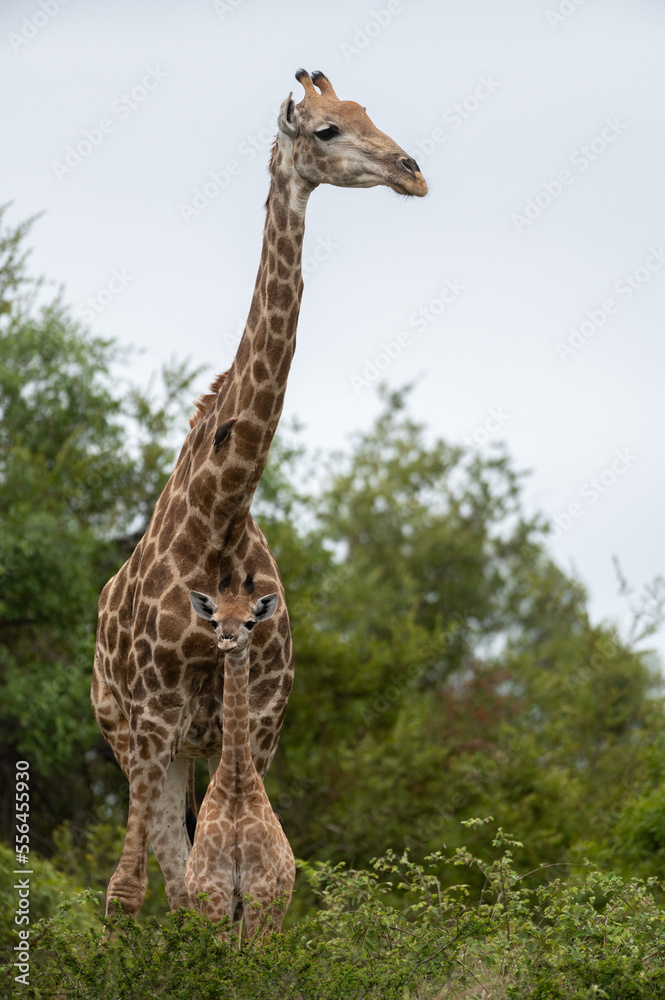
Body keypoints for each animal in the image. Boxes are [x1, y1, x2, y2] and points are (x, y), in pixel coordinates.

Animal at [185, 575, 295, 940]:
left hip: (272, 903)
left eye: (250, 622)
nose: (227, 640)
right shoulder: (213, 888)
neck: (234, 780)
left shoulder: (261, 887)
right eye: (215, 620)